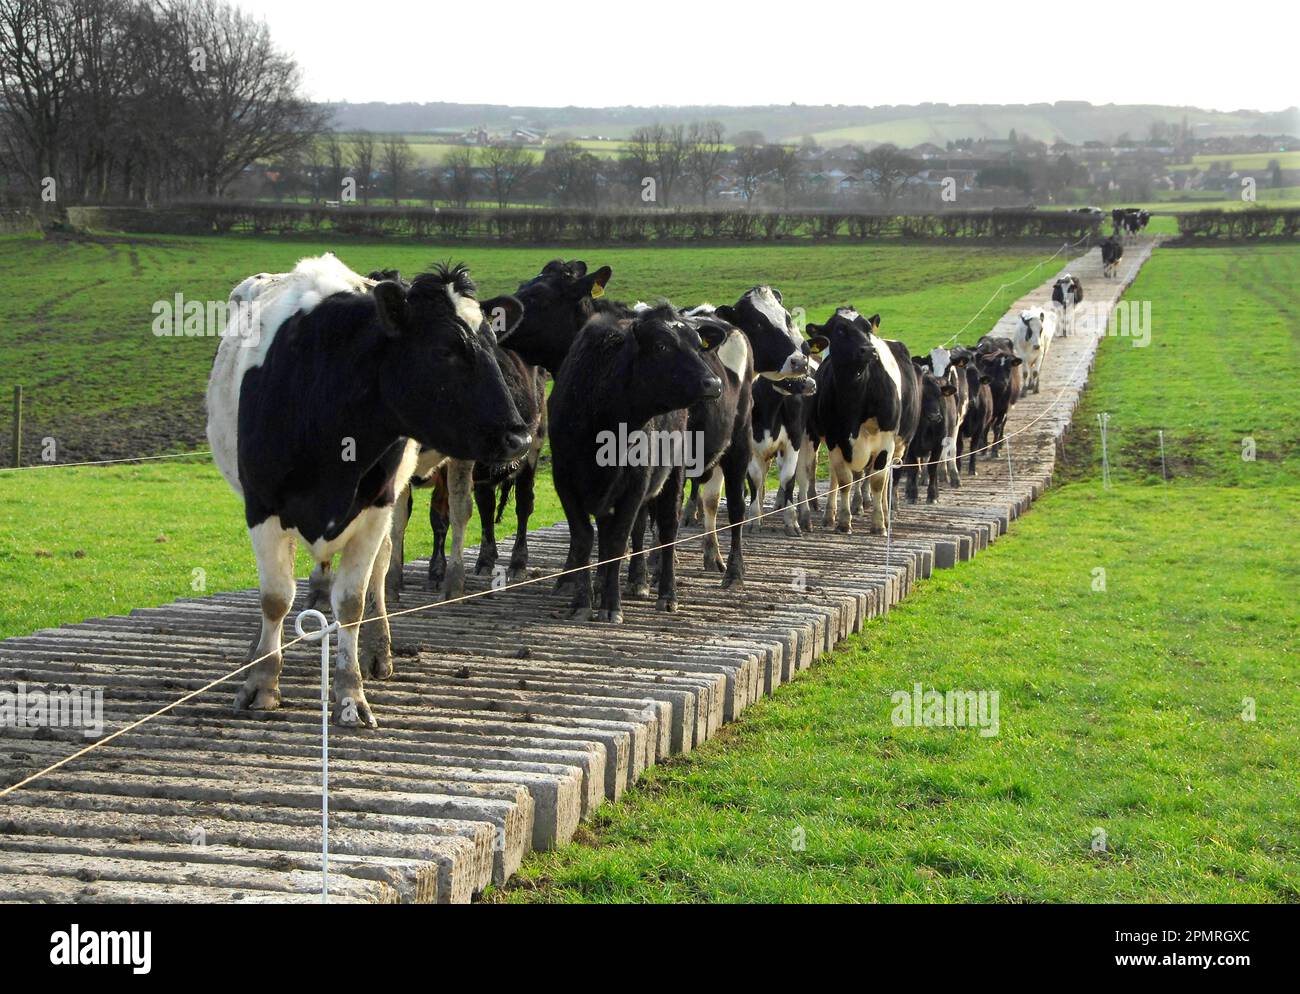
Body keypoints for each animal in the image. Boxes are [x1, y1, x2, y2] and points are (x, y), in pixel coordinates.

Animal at [206, 255, 530, 728]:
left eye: (493, 345)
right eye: (446, 350)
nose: (518, 437)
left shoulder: (376, 508)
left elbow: (352, 602)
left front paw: (350, 694)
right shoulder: (261, 506)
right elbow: (275, 598)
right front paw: (262, 682)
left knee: (380, 572)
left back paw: (378, 650)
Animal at [549, 305, 724, 621]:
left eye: (697, 344)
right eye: (661, 346)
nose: (712, 383)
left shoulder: (635, 483)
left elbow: (618, 540)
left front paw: (610, 606)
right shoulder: (565, 480)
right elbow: (585, 539)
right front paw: (583, 601)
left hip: (673, 474)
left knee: (666, 529)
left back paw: (665, 595)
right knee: (632, 531)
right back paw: (628, 581)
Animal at [795, 309, 920, 535]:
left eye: (867, 329)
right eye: (839, 330)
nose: (869, 350)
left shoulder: (886, 440)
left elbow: (878, 482)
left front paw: (878, 524)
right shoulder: (835, 438)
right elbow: (845, 480)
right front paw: (844, 522)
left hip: (900, 445)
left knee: (888, 479)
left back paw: (887, 513)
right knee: (830, 475)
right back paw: (829, 516)